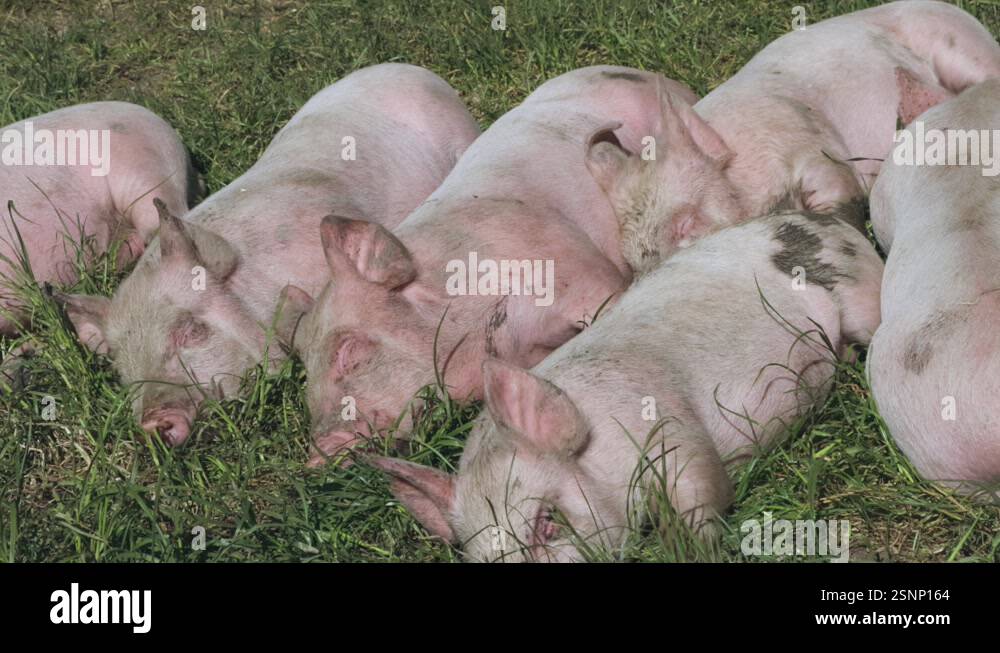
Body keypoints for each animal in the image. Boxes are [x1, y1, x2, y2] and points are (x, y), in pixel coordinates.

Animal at [371, 208, 884, 561]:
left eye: (546, 523)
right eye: (483, 558)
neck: (597, 435)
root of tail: (823, 221)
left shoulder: (669, 421)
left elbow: (701, 485)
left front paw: (691, 548)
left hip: (857, 288)